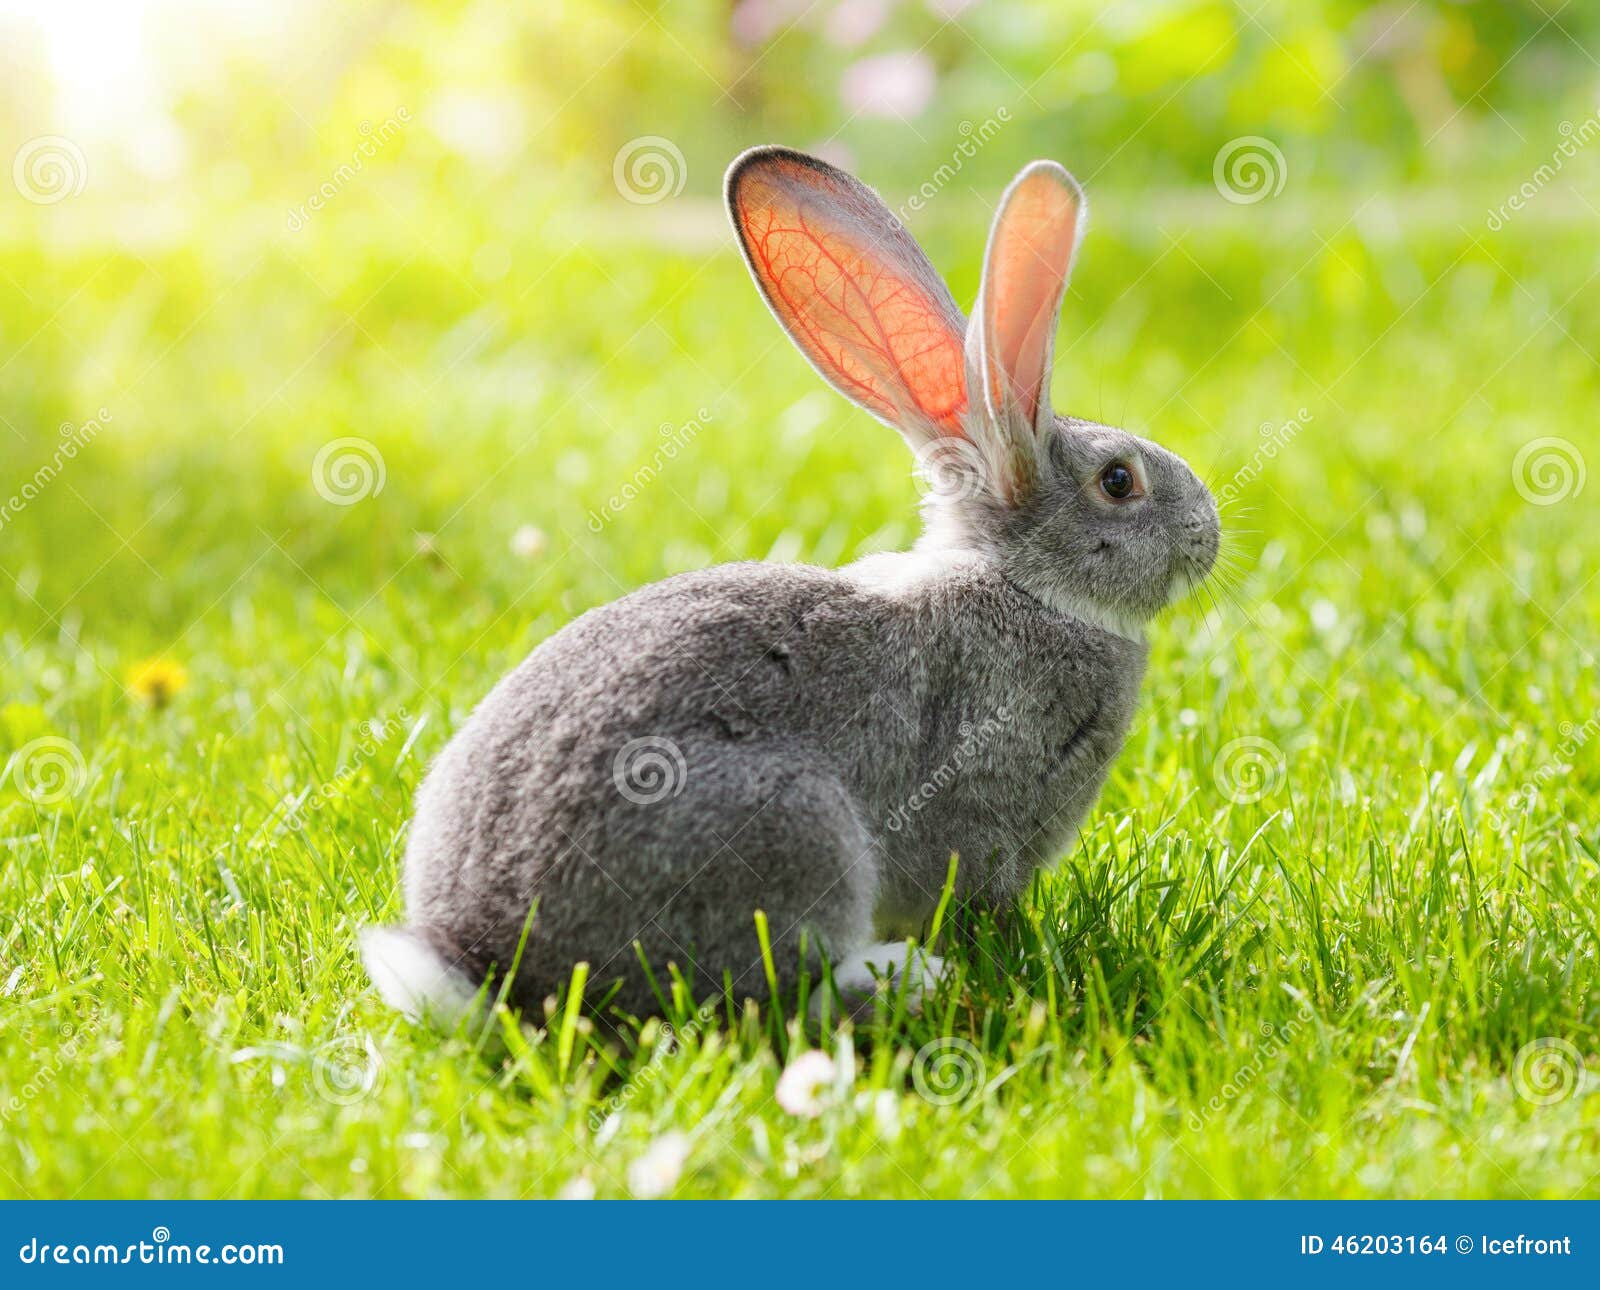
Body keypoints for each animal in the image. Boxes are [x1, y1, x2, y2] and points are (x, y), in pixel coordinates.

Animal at [361, 146, 1220, 1026]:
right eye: (1119, 482)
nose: (1208, 534)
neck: (1024, 584)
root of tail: (493, 965)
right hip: (794, 825)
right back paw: (904, 980)